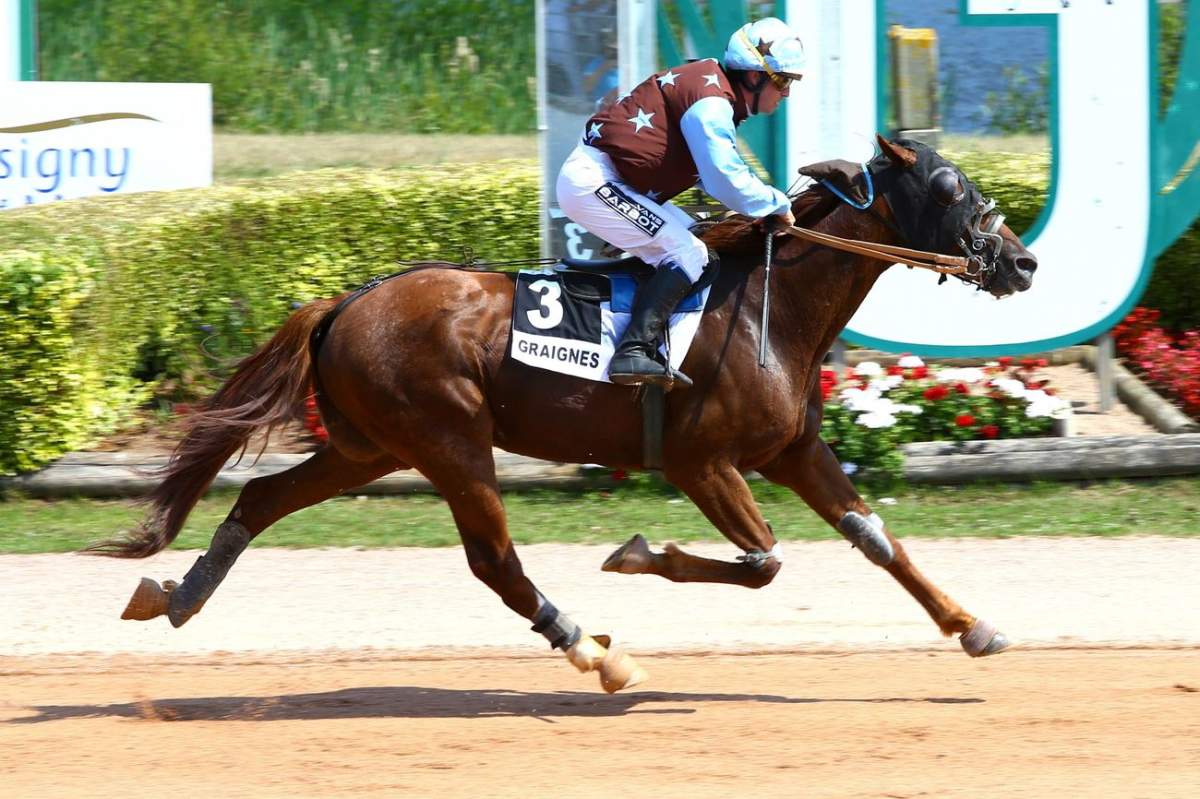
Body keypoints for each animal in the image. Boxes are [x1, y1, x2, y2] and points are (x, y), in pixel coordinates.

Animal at [97, 136, 1038, 693]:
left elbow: (876, 538)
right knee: (494, 562)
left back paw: (176, 596)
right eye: (949, 186)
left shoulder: (794, 447)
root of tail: (341, 302)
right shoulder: (700, 460)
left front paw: (973, 625)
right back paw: (595, 649)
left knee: (259, 499)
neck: (771, 307)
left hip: (368, 447)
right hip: (449, 441)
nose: (1021, 260)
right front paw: (636, 551)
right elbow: (764, 559)